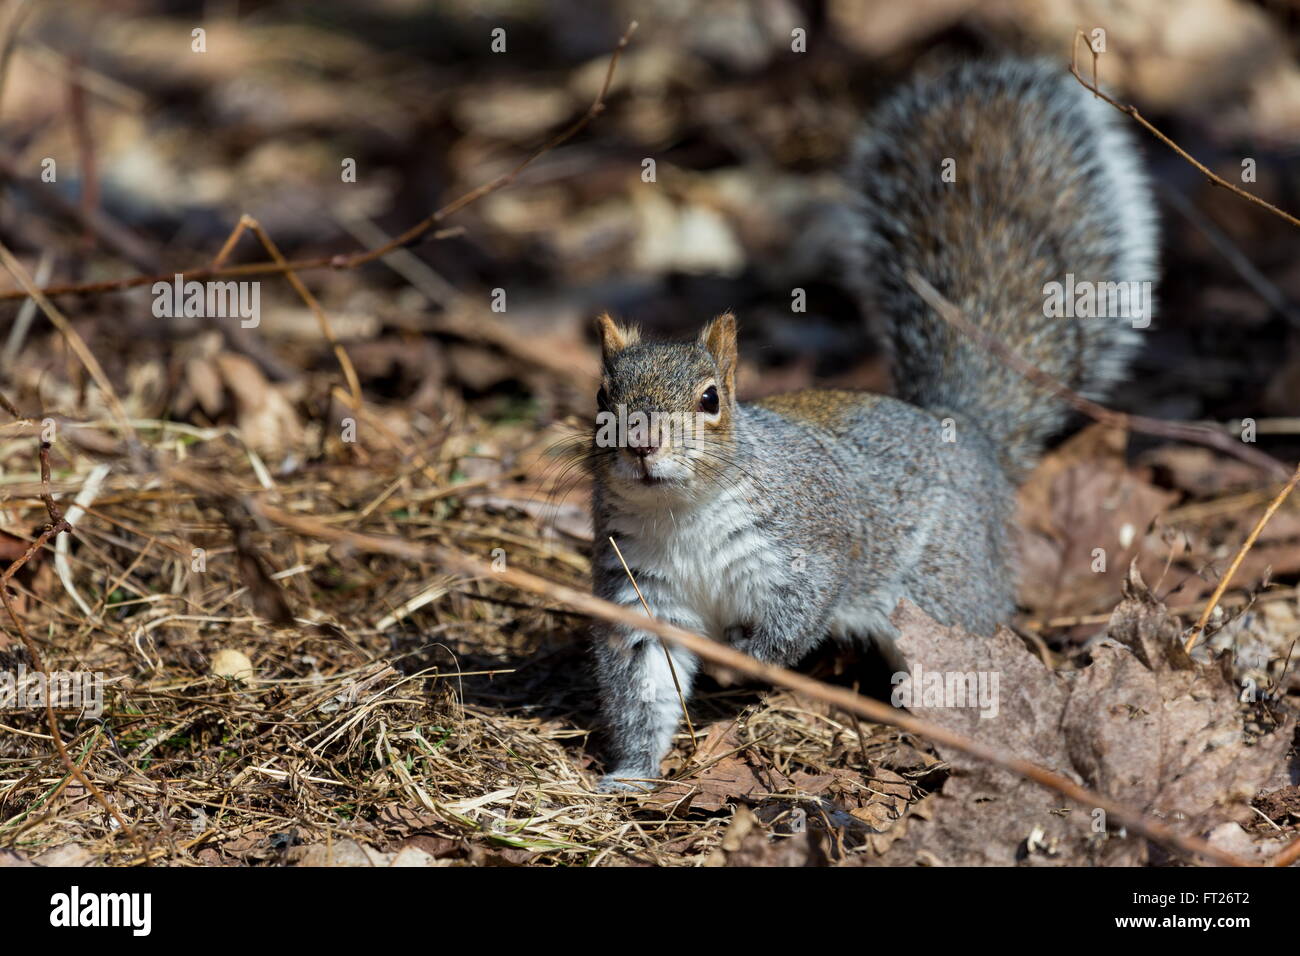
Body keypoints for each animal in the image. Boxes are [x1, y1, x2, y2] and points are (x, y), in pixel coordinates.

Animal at [587, 58, 1158, 791]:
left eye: (711, 400)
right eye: (603, 394)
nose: (639, 444)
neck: (680, 517)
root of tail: (962, 431)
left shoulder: (805, 548)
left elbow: (799, 616)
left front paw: (744, 657)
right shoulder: (640, 594)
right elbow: (642, 685)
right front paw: (630, 774)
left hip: (944, 588)